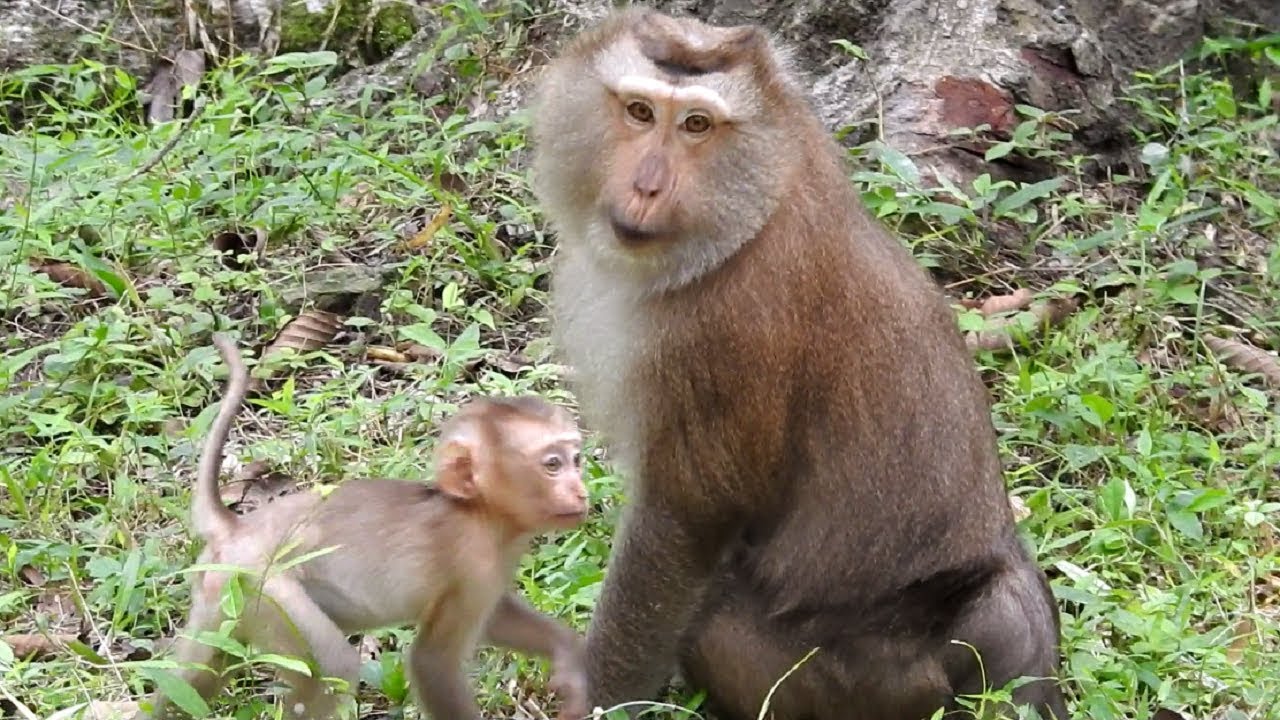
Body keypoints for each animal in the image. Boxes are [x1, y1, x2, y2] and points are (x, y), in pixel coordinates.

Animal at [137, 334, 590, 720]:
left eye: (576, 461)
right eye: (552, 465)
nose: (581, 492)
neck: (479, 512)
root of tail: (236, 529)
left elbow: (497, 620)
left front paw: (569, 658)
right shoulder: (471, 560)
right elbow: (432, 663)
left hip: (221, 592)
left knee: (194, 676)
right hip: (264, 586)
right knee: (330, 667)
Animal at [528, 8, 1070, 720]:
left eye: (696, 125)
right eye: (639, 112)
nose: (646, 185)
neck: (745, 220)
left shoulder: (719, 338)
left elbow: (683, 520)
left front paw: (598, 696)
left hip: (859, 684)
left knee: (714, 620)